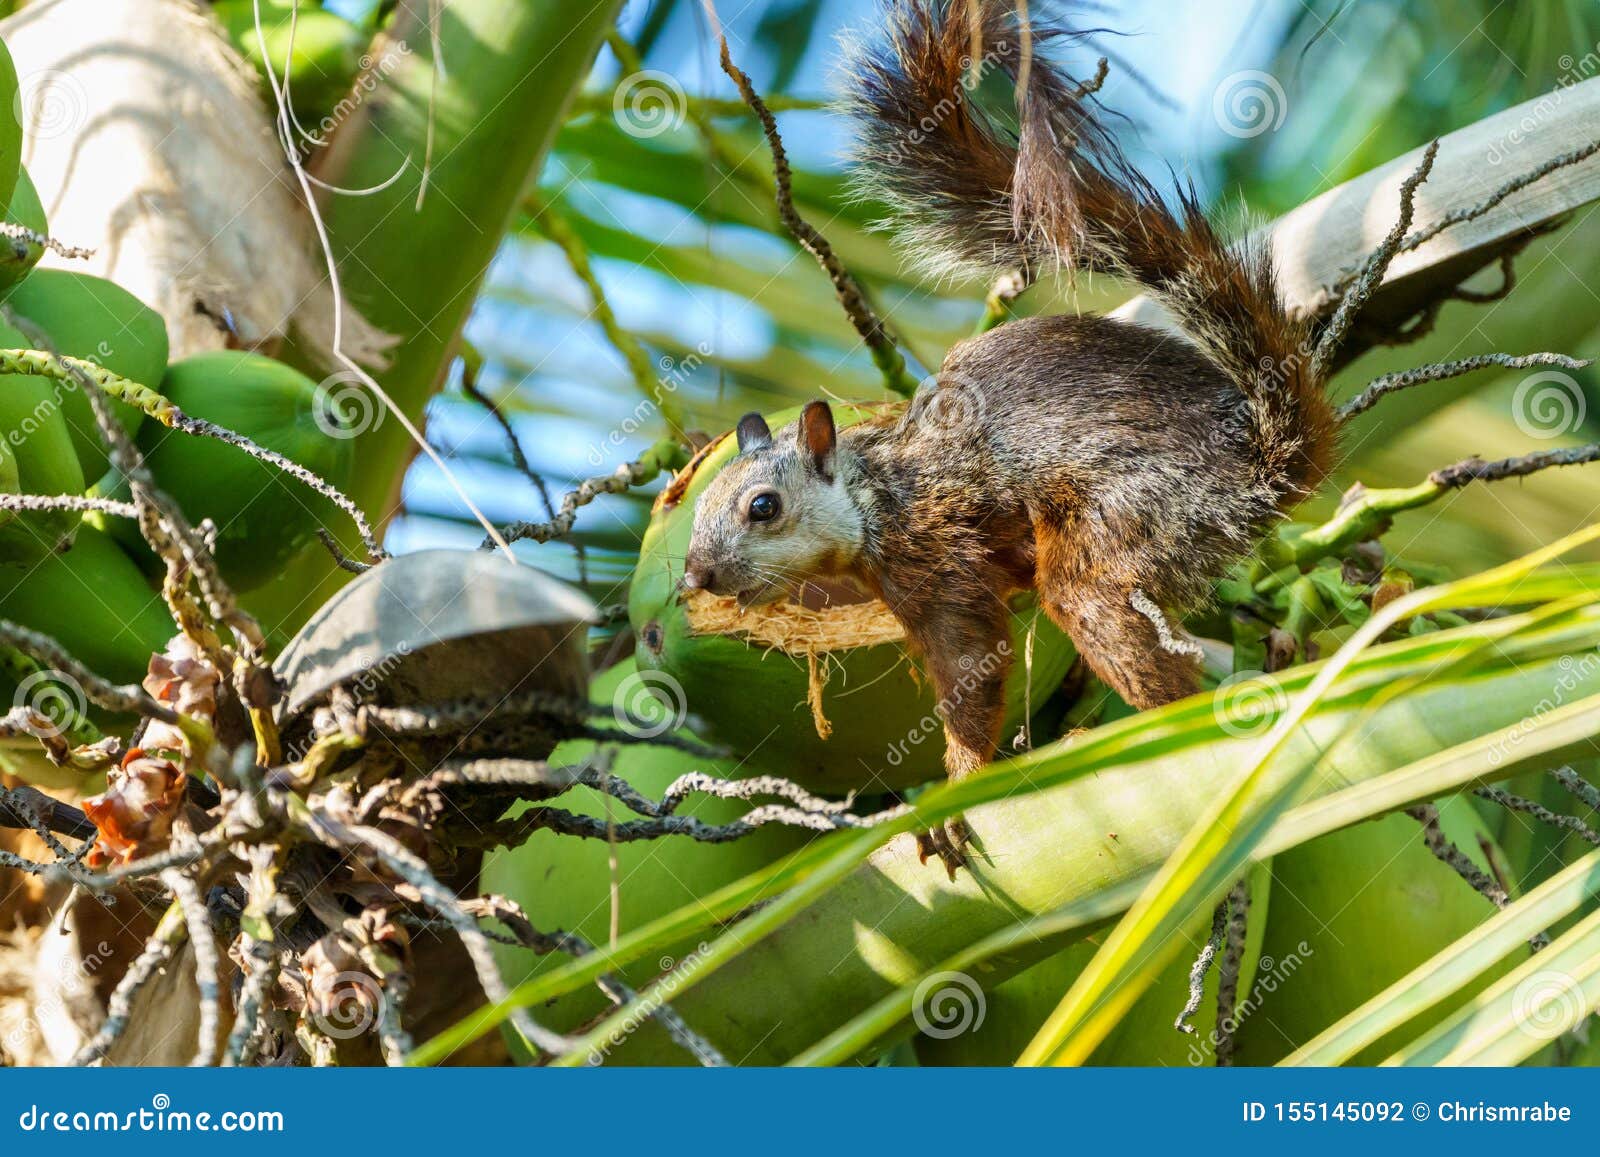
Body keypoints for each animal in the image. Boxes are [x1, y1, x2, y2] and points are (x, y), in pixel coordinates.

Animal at [682, 0, 1340, 874]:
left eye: (764, 507)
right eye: (698, 508)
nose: (697, 575)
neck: (876, 498)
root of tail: (1260, 468)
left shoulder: (941, 559)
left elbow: (972, 671)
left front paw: (955, 789)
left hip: (1127, 522)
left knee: (1117, 626)